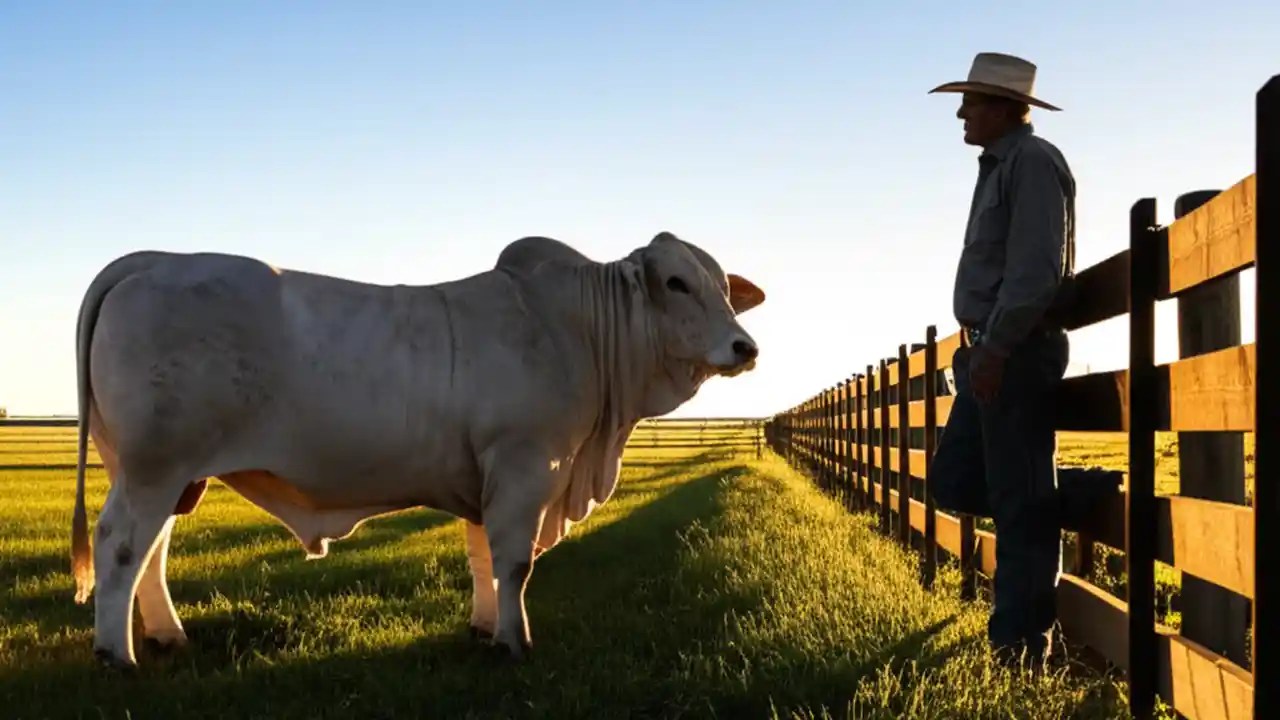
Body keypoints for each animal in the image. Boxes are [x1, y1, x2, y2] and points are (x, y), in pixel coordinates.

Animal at [69, 231, 765, 669]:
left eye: (723, 286)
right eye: (676, 282)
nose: (745, 347)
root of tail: (152, 260)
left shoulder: (485, 478)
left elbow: (483, 559)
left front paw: (485, 630)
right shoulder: (524, 465)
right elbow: (514, 562)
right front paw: (515, 643)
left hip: (164, 474)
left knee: (151, 554)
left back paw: (166, 636)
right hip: (155, 468)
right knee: (121, 545)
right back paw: (115, 654)